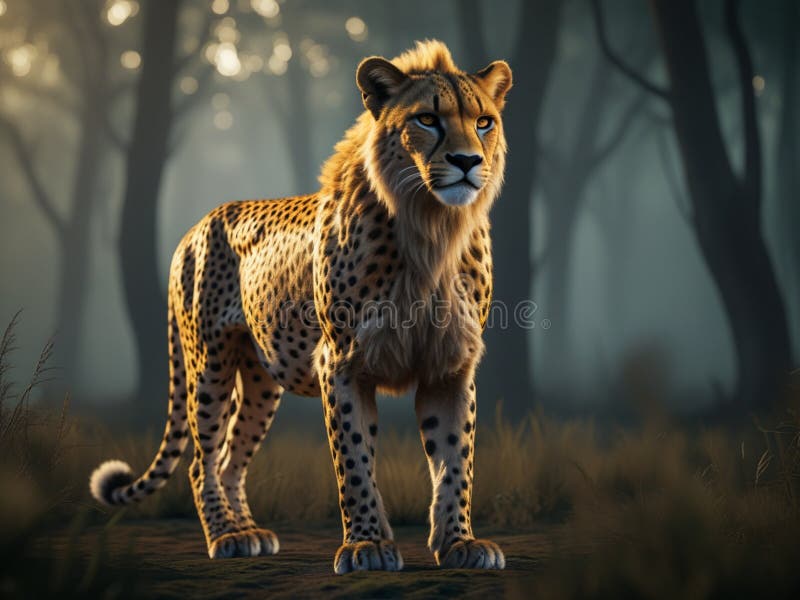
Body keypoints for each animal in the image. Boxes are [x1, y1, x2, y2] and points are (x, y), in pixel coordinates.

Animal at [90, 39, 512, 574]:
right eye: (427, 119)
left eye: (485, 122)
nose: (467, 161)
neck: (431, 228)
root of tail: (196, 225)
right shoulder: (341, 362)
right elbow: (354, 461)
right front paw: (367, 545)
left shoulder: (450, 366)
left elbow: (456, 461)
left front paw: (459, 542)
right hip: (209, 365)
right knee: (202, 462)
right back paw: (227, 535)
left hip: (260, 382)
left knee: (230, 459)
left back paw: (249, 531)